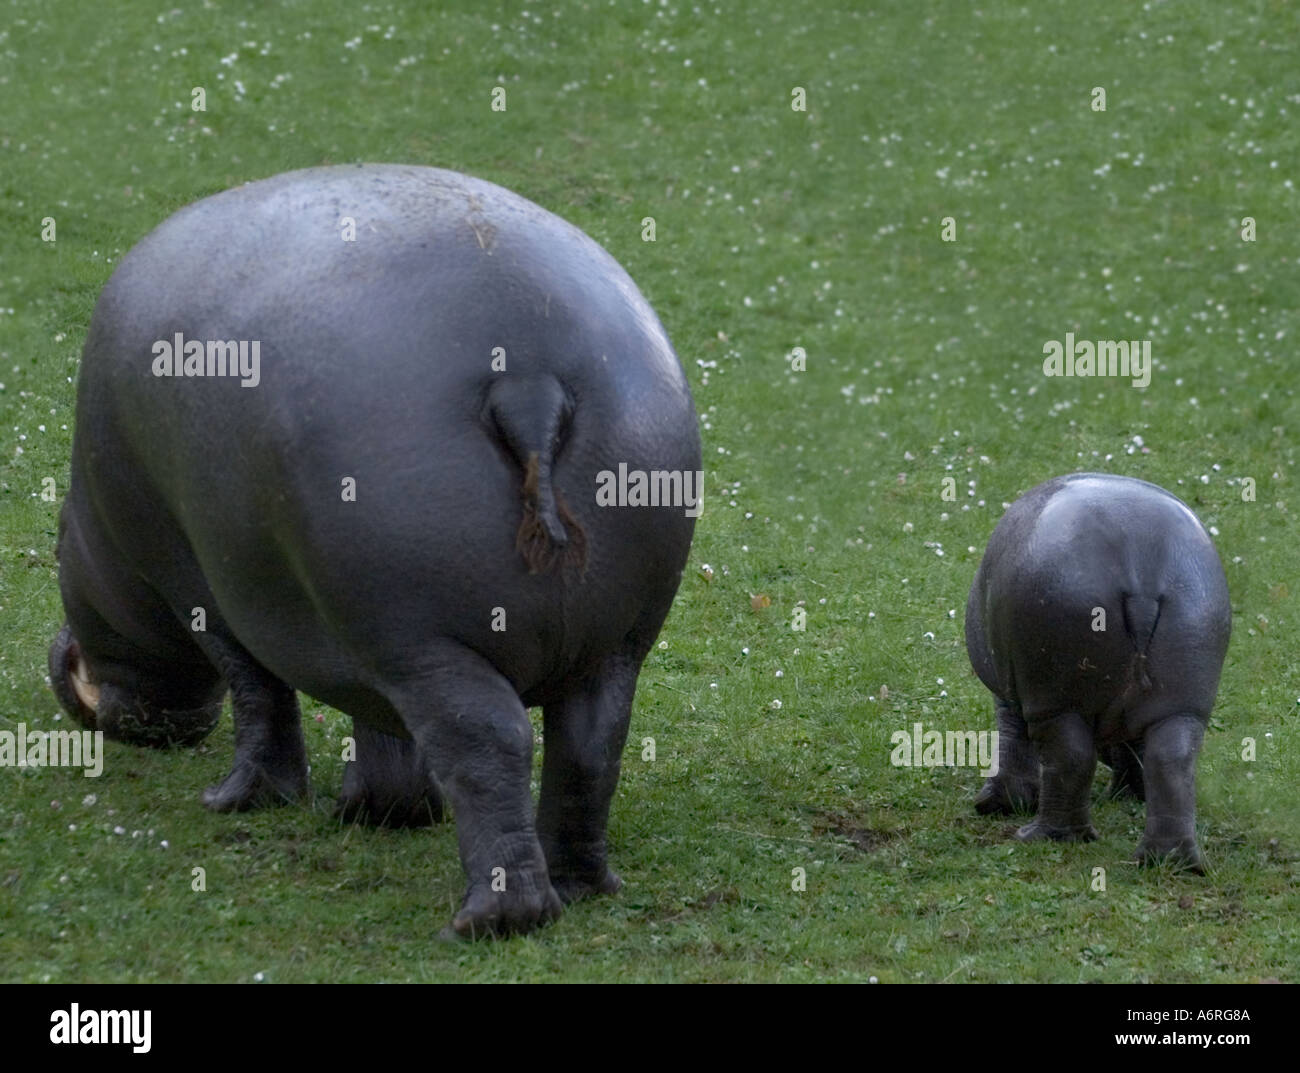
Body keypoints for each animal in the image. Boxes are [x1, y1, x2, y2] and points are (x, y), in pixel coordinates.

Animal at [47, 164, 701, 937]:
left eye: (54, 545)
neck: (93, 514)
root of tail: (530, 380)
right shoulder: (350, 625)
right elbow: (379, 725)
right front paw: (373, 813)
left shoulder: (202, 586)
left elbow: (259, 692)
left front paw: (236, 801)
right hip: (610, 634)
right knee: (590, 745)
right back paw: (578, 888)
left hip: (424, 634)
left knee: (490, 739)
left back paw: (489, 919)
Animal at [965, 473, 1231, 872]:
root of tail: (1140, 572)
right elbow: (1135, 754)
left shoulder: (1011, 696)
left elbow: (1011, 740)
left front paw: (993, 805)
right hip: (1186, 684)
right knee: (1172, 760)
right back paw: (1169, 861)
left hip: (1055, 697)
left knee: (1071, 757)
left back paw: (1043, 835)